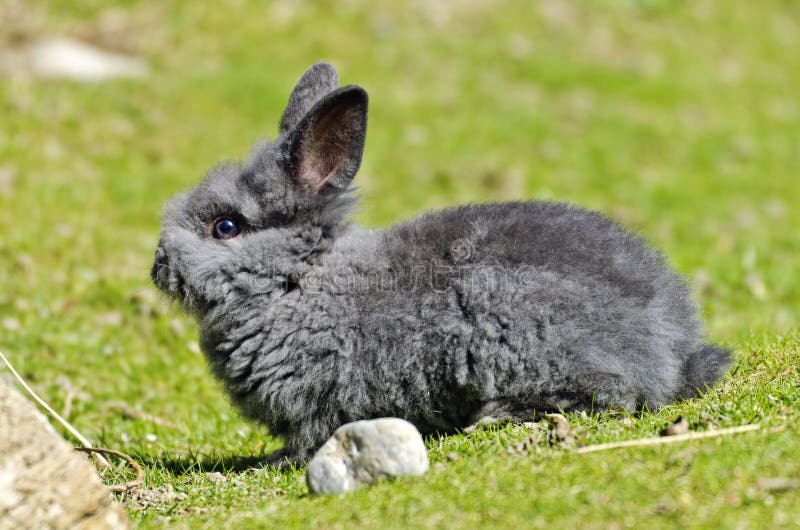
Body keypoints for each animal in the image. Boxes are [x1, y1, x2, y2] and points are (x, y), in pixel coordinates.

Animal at [151, 62, 732, 463]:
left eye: (226, 227)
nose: (157, 267)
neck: (300, 282)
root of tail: (673, 349)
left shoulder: (318, 401)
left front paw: (276, 460)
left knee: (614, 393)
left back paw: (496, 416)